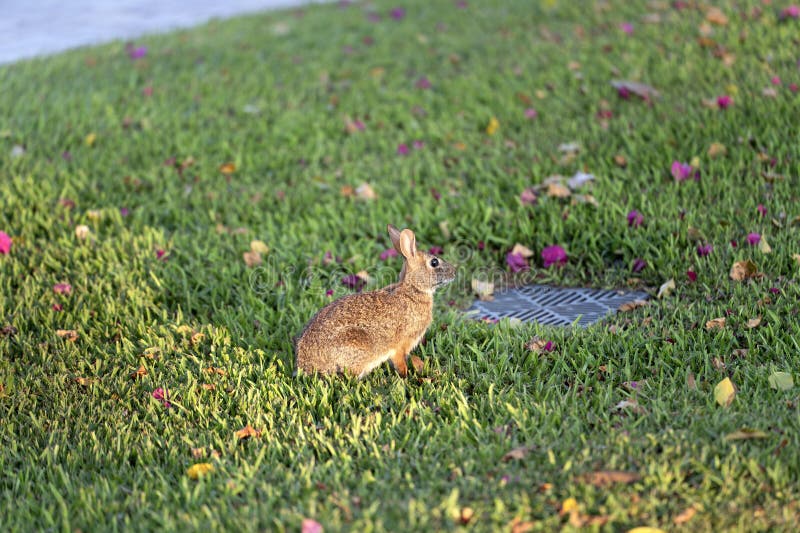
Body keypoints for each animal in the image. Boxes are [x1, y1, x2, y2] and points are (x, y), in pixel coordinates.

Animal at [295, 224, 456, 378]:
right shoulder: (400, 345)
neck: (412, 289)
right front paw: (405, 375)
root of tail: (305, 364)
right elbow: (399, 361)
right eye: (434, 262)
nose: (454, 272)